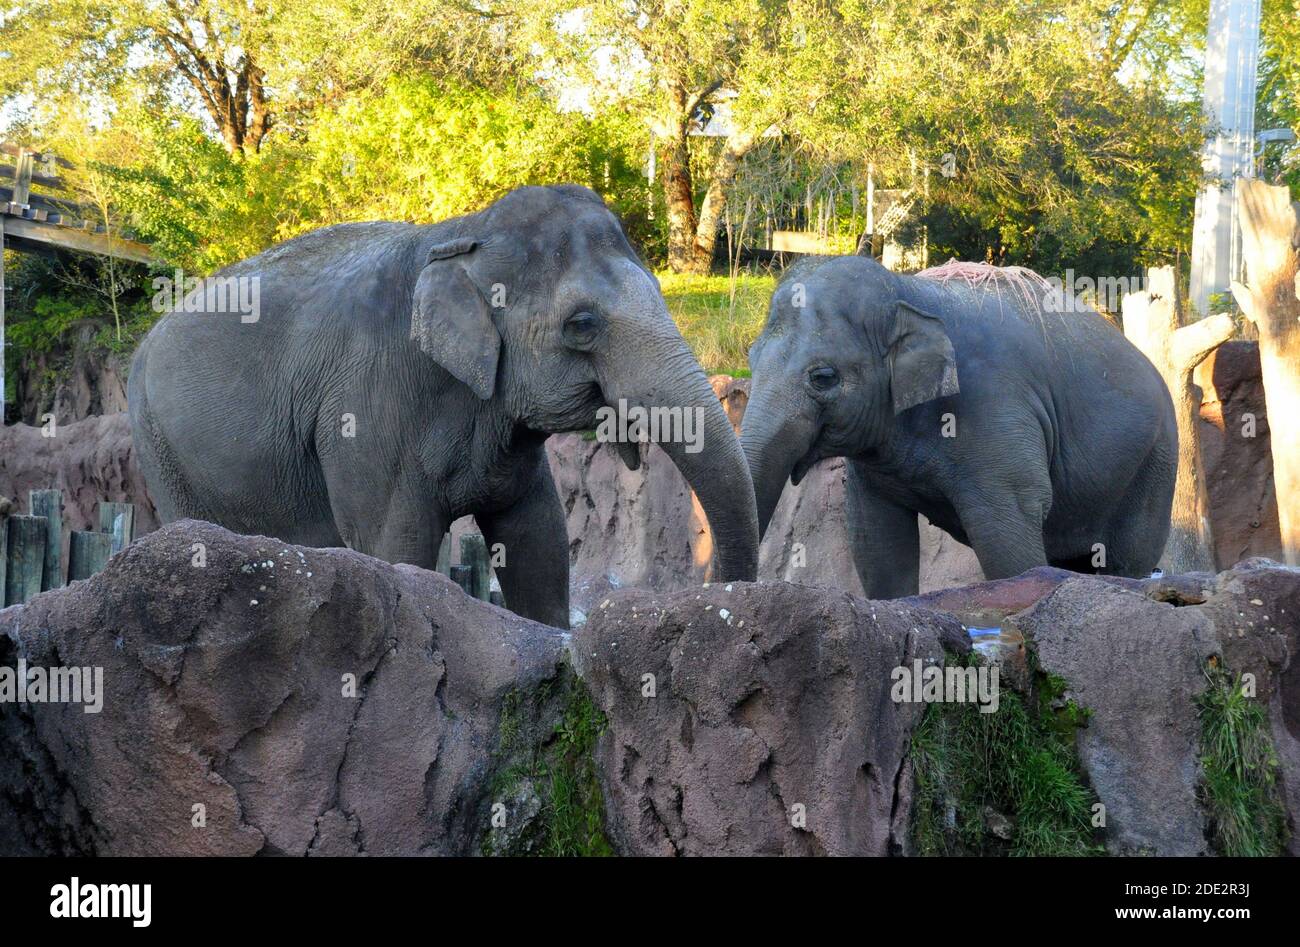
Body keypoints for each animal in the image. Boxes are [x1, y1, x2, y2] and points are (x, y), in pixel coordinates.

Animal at [129, 185, 759, 628]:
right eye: (582, 324)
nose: (721, 603)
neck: (466, 232)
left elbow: (539, 540)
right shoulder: (367, 408)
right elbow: (398, 547)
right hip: (156, 445)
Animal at [740, 255, 1176, 599]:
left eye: (823, 377)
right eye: (751, 357)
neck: (908, 290)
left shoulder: (996, 407)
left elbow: (1008, 536)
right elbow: (877, 539)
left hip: (1154, 463)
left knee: (1126, 560)